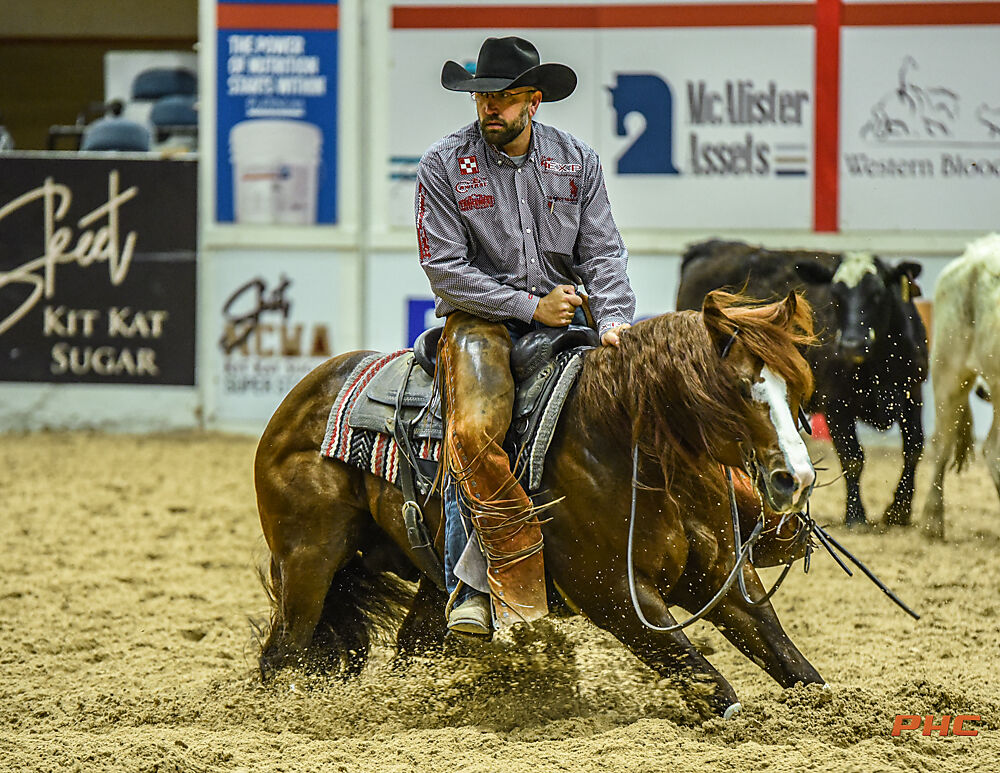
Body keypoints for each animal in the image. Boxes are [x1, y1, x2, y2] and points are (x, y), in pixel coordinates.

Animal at [253, 290, 825, 719]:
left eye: (798, 390)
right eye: (741, 388)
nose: (795, 479)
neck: (625, 444)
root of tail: (300, 399)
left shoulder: (725, 580)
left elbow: (801, 674)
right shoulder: (618, 600)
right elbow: (718, 693)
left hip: (429, 588)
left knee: (409, 648)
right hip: (308, 565)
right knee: (283, 657)